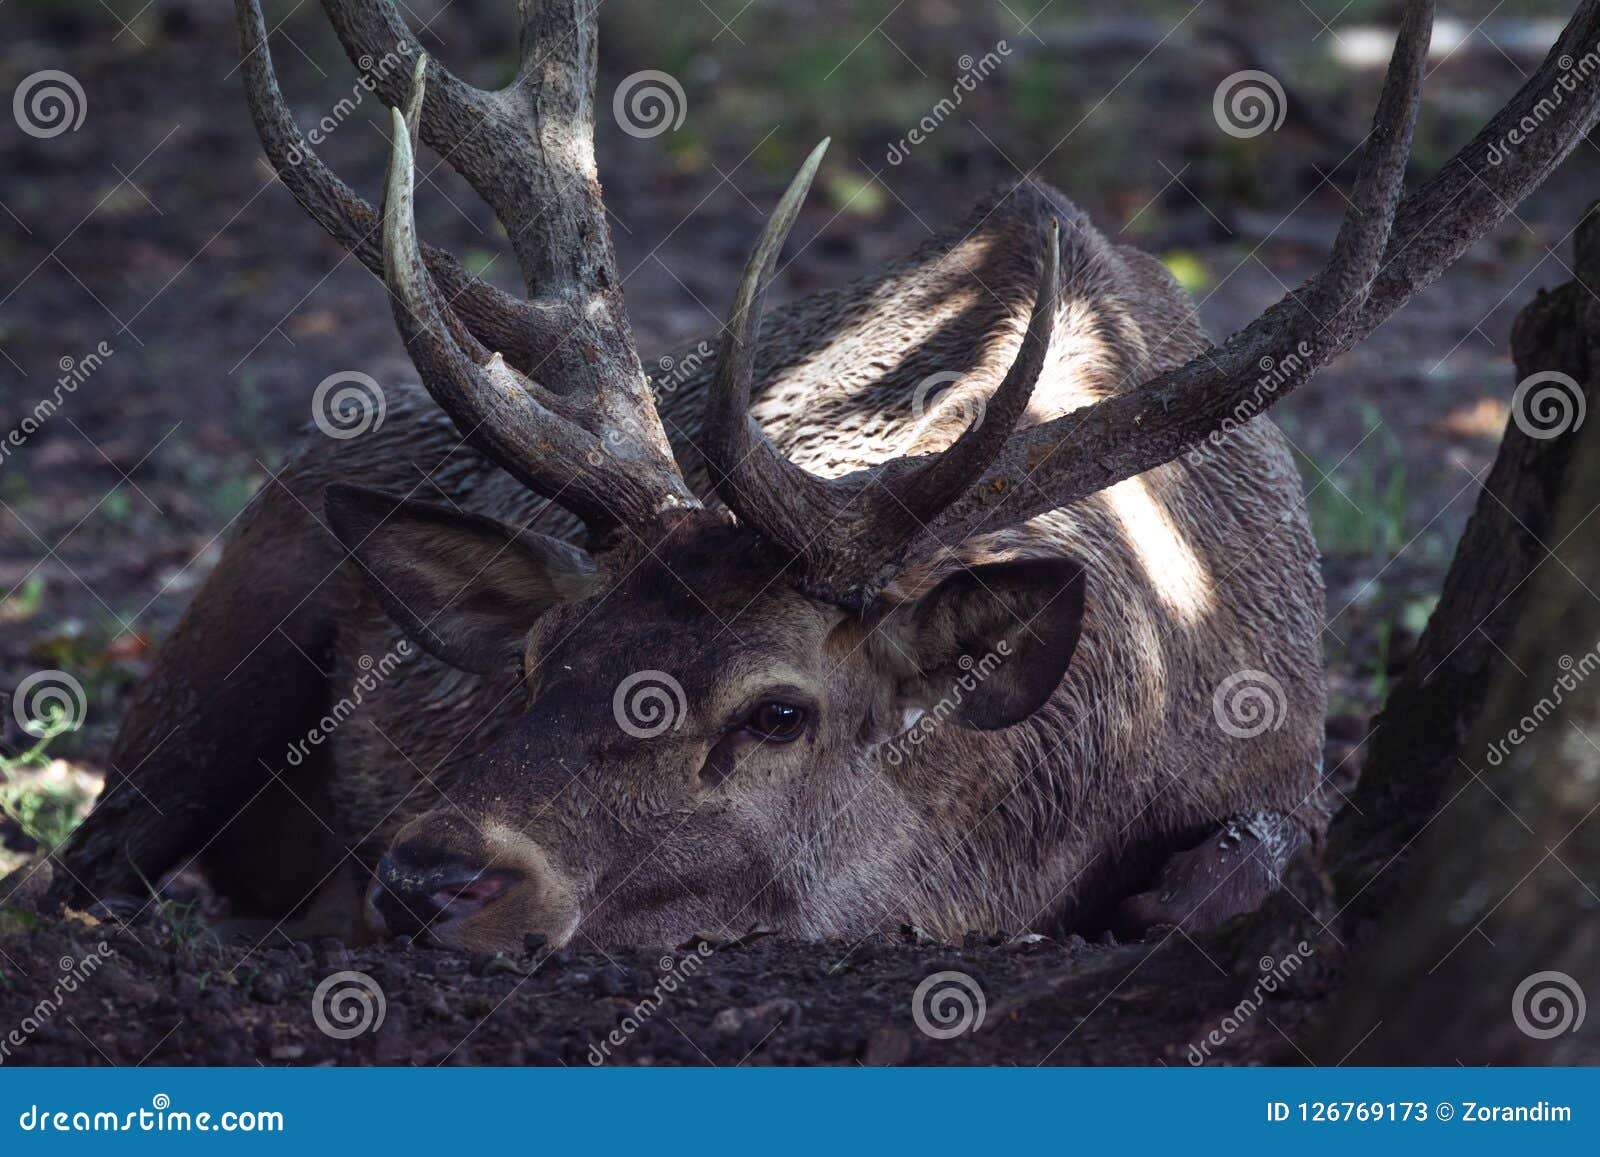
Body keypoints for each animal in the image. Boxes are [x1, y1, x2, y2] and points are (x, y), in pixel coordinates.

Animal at [32, 0, 1600, 954]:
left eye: (778, 712)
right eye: (532, 658)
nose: (431, 873)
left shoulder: (1280, 766)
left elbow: (1236, 876)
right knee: (84, 863)